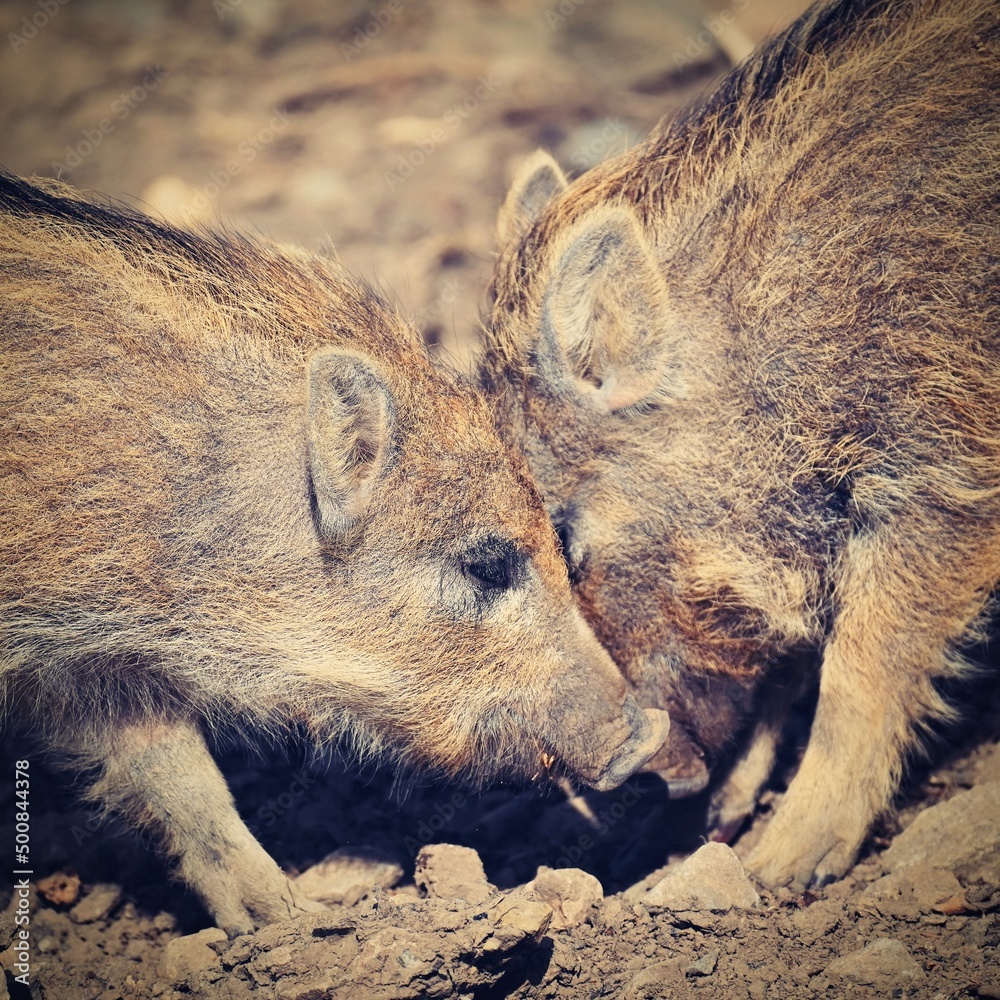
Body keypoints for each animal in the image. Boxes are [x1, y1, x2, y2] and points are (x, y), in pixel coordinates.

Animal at [0, 172, 668, 934]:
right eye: (486, 564)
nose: (649, 736)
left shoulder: (93, 670)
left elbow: (173, 769)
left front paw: (281, 919)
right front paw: (292, 920)